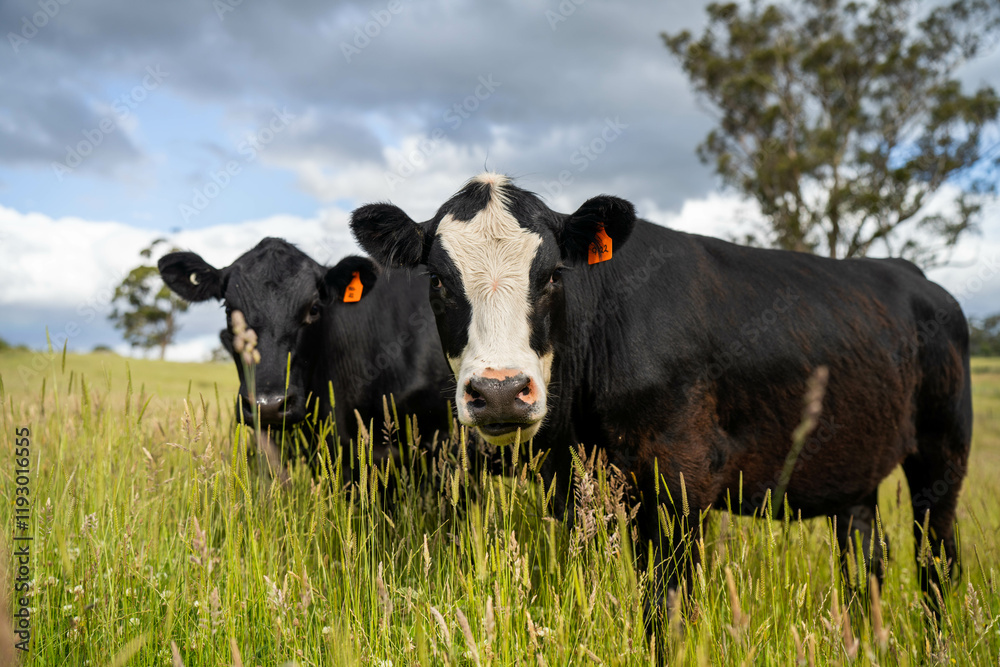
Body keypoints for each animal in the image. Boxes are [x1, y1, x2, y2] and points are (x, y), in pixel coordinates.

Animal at [350, 172, 972, 614]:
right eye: (437, 280)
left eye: (552, 276)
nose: (500, 391)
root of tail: (912, 274)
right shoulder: (569, 483)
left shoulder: (681, 480)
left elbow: (666, 609)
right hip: (855, 472)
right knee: (867, 561)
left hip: (942, 454)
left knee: (938, 563)